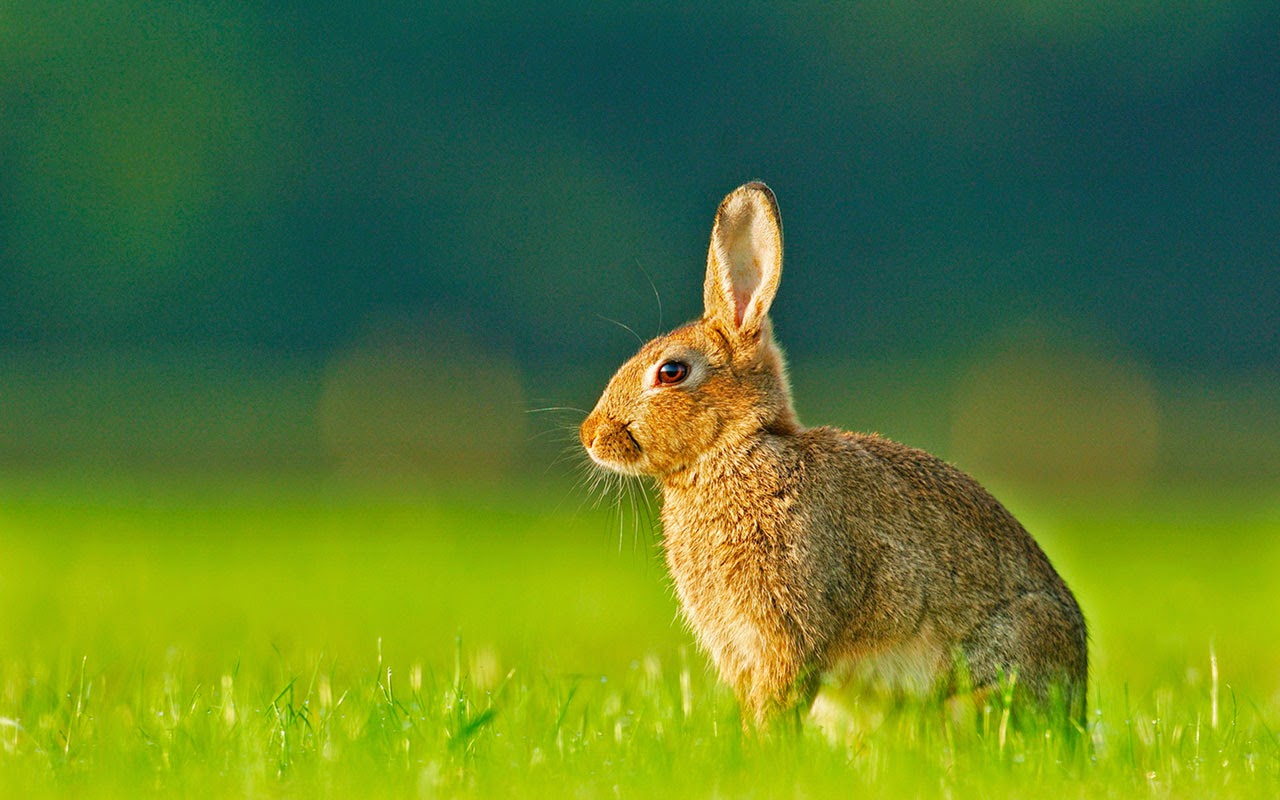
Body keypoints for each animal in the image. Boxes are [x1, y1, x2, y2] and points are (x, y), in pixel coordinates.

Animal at [579, 182, 1087, 727]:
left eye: (671, 372)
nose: (591, 435)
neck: (735, 449)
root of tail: (1078, 696)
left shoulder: (788, 629)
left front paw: (767, 741)